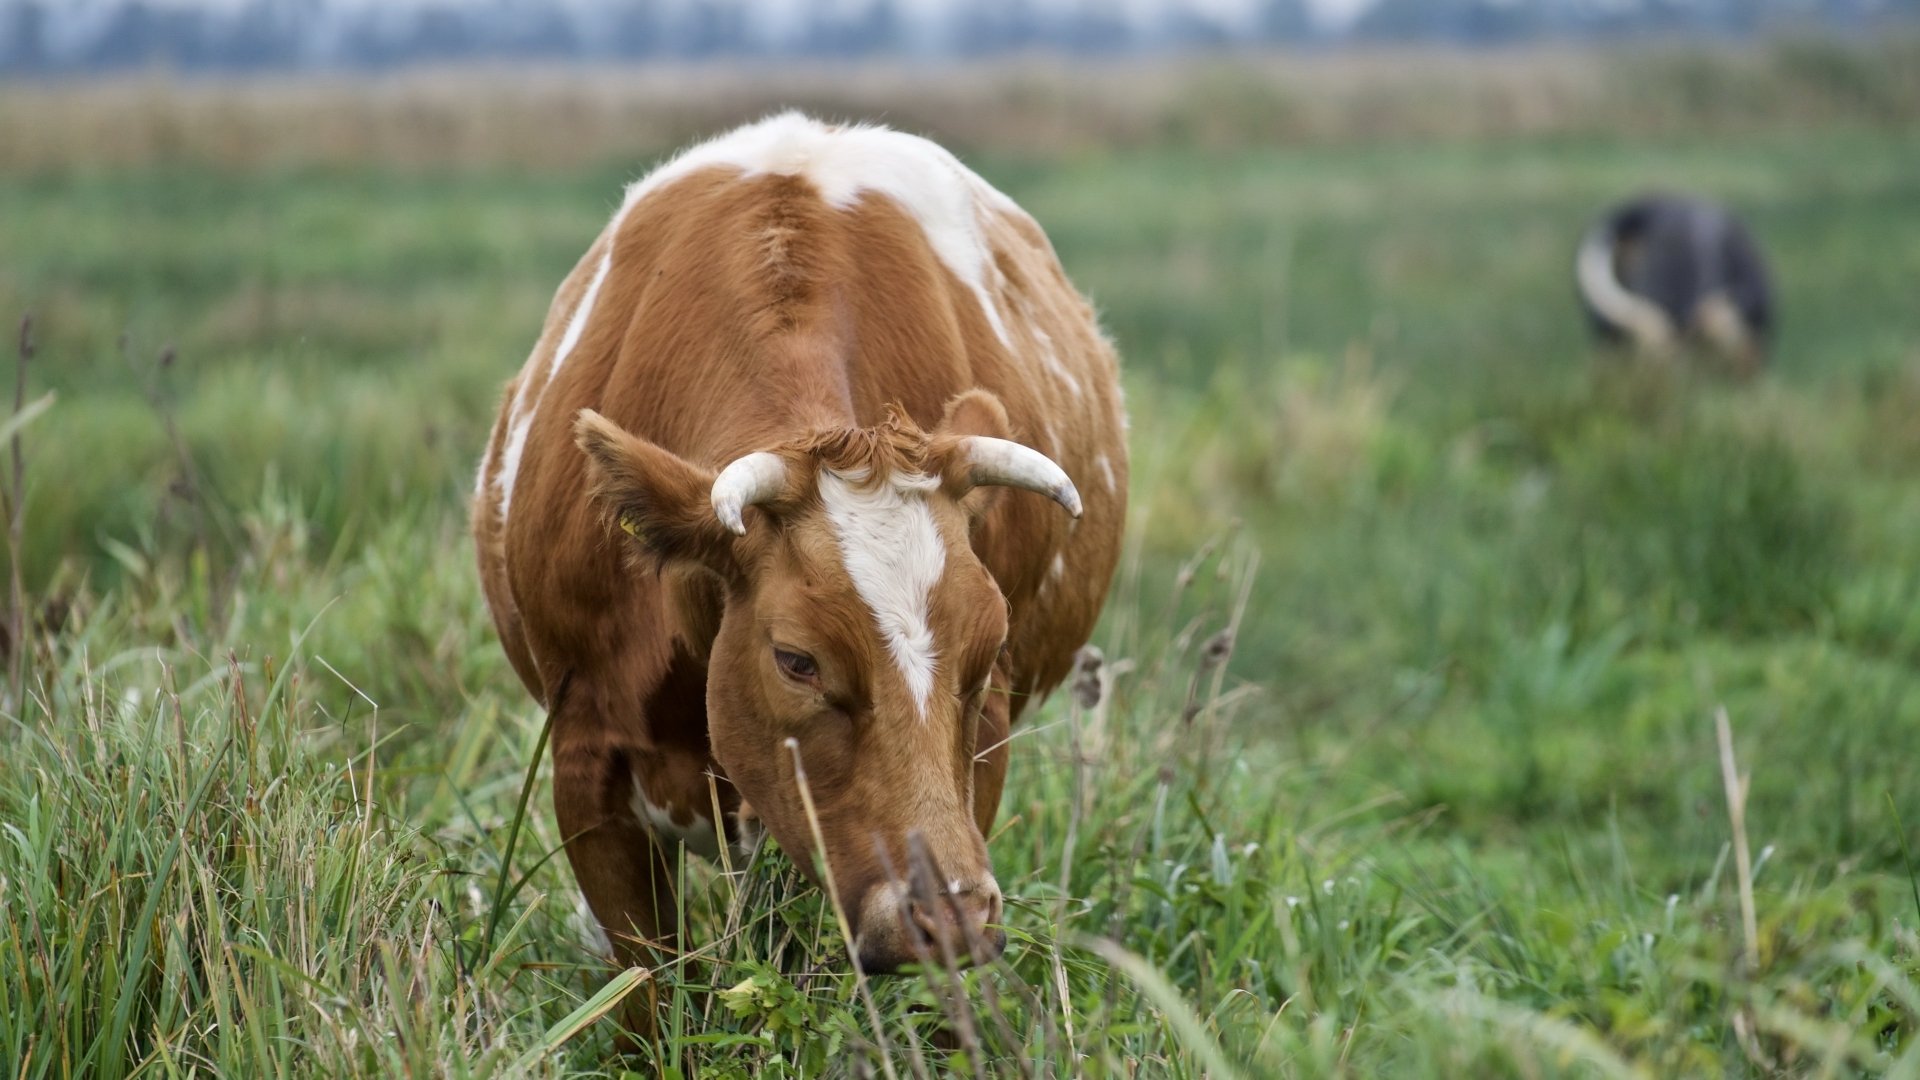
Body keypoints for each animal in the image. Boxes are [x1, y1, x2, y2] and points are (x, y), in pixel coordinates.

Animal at [470, 113, 1128, 1031]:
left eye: (989, 650)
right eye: (797, 660)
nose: (947, 917)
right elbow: (646, 996)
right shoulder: (585, 764)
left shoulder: (979, 760)